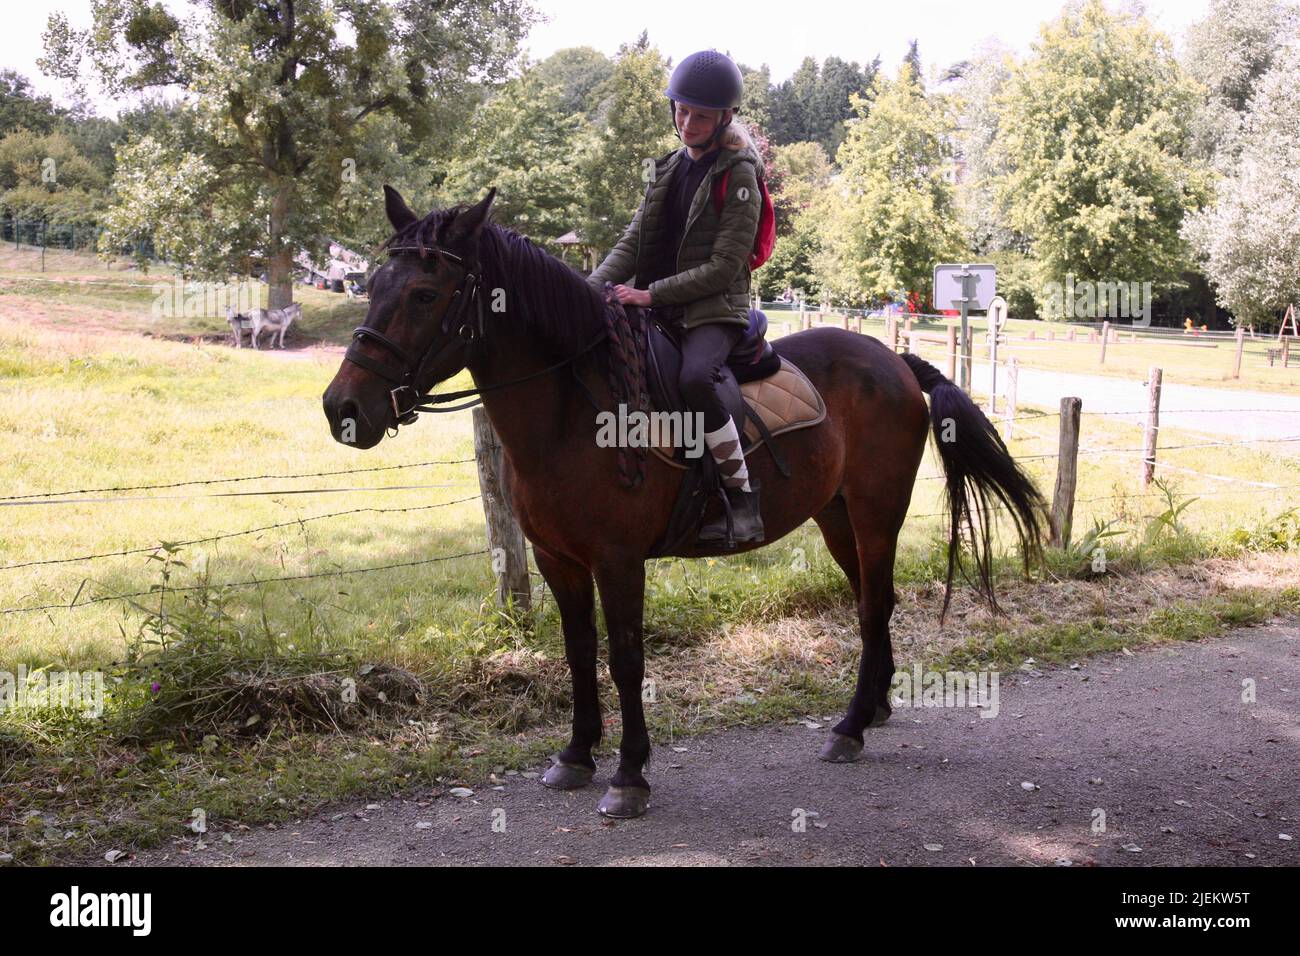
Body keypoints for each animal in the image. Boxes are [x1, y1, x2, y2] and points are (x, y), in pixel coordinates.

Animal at [321, 186, 1049, 819]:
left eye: (424, 293)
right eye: (372, 286)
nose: (342, 408)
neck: (573, 410)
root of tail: (895, 361)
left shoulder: (618, 561)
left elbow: (624, 658)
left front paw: (629, 775)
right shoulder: (558, 559)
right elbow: (578, 652)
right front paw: (576, 755)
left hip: (876, 513)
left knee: (875, 605)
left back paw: (849, 726)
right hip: (836, 516)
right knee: (872, 600)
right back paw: (872, 709)